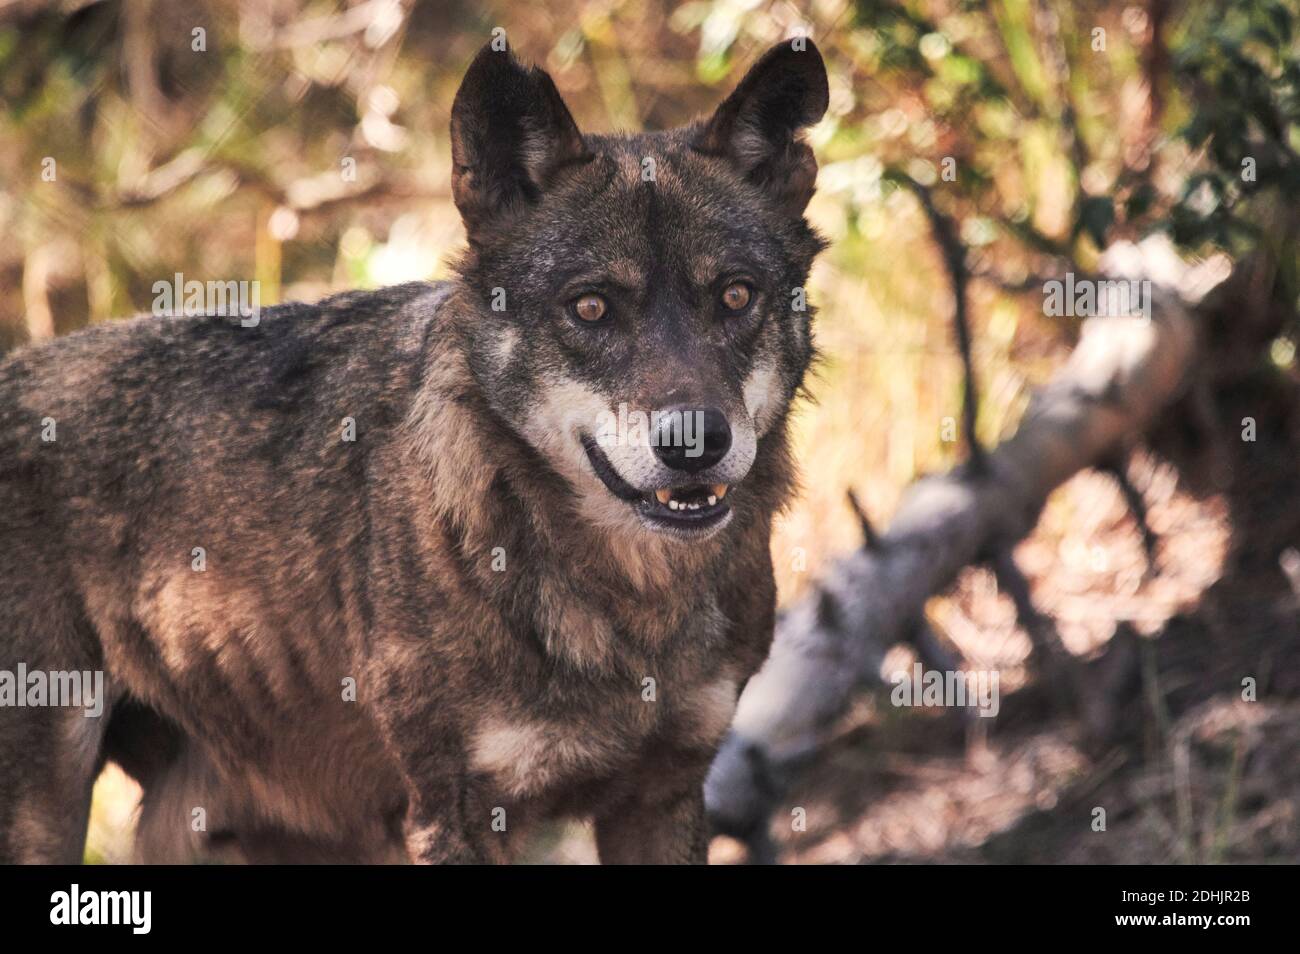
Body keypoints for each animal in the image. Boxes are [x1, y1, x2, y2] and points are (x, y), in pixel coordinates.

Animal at [0, 38, 828, 863]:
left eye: (735, 296)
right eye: (590, 307)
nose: (696, 440)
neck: (632, 602)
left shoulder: (664, 797)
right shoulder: (453, 814)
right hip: (46, 810)